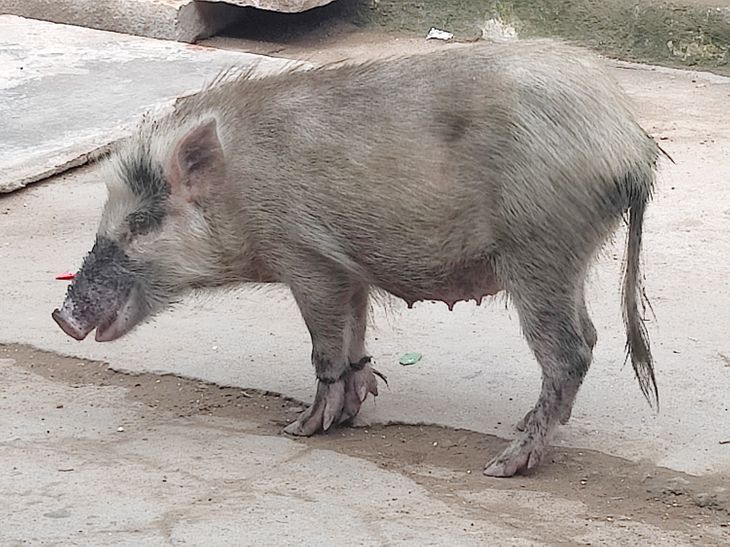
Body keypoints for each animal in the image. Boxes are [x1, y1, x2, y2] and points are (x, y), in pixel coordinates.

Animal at [52, 39, 664, 477]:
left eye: (140, 223)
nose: (60, 315)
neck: (240, 192)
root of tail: (630, 142)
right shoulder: (347, 266)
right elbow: (354, 334)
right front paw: (352, 408)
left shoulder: (305, 256)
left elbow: (324, 344)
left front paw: (299, 428)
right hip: (562, 254)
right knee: (583, 341)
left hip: (539, 248)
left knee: (571, 349)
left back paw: (504, 464)